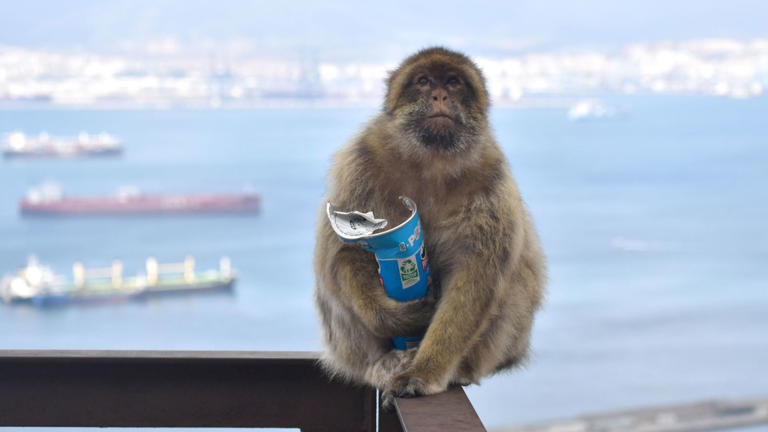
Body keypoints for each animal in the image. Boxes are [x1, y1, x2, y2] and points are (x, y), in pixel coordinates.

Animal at [313, 47, 545, 408]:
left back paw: (456, 368)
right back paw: (383, 362)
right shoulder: (360, 161)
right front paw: (400, 318)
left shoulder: (492, 179)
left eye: (453, 82)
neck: (432, 161)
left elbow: (476, 276)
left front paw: (423, 373)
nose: (439, 95)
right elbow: (345, 251)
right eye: (423, 81)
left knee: (516, 280)